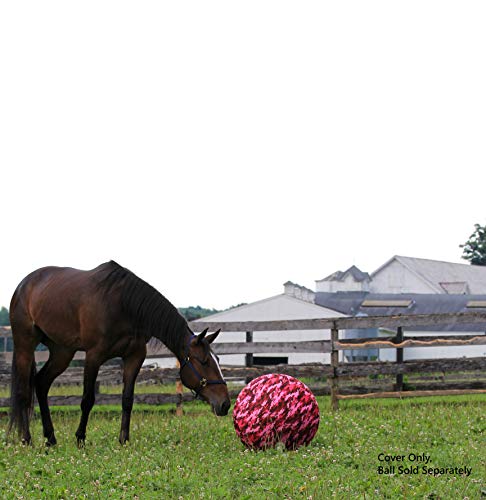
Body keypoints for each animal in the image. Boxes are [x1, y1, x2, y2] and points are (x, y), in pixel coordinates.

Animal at [8, 262, 230, 446]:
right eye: (203, 362)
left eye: (217, 360)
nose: (225, 404)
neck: (124, 304)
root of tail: (23, 286)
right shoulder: (94, 356)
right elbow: (87, 400)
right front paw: (80, 438)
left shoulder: (135, 356)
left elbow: (127, 399)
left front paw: (124, 440)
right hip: (25, 346)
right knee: (24, 392)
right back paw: (27, 439)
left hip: (62, 351)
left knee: (41, 383)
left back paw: (50, 438)